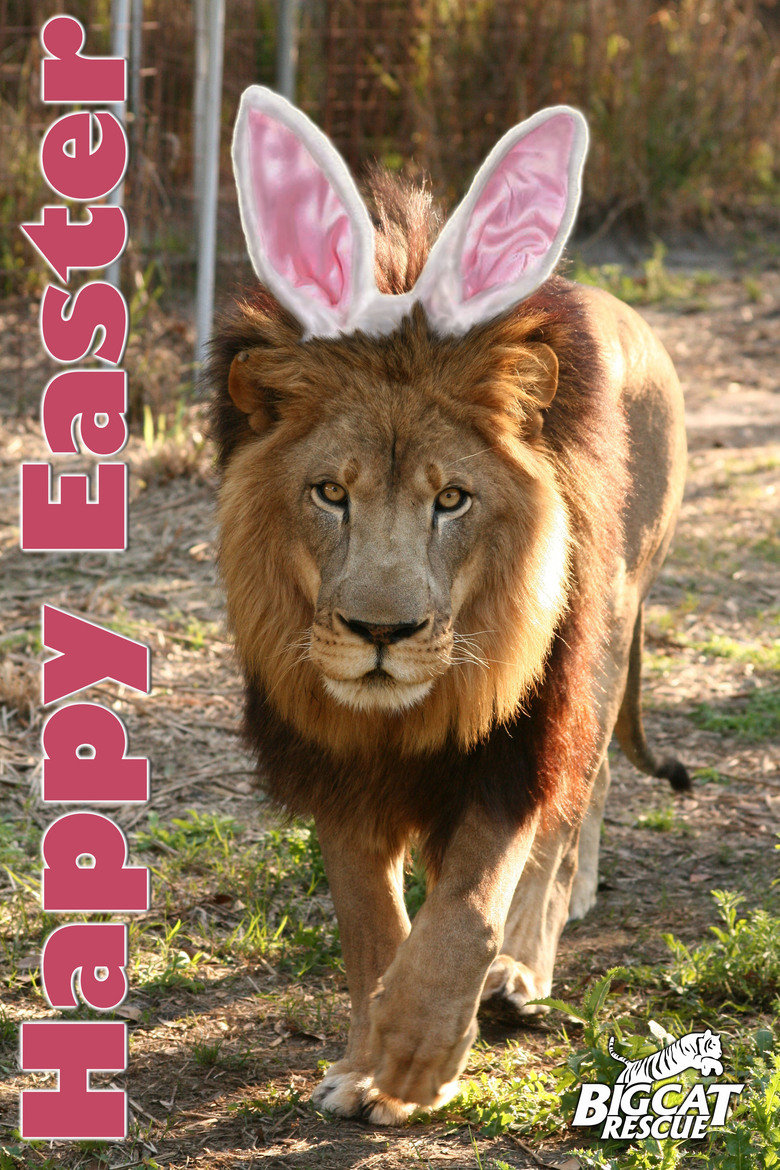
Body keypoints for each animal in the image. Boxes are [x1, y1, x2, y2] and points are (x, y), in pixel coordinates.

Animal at [208, 87, 690, 1125]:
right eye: (330, 493)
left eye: (453, 500)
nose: (380, 633)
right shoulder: (334, 761)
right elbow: (369, 921)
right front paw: (366, 1061)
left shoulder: (518, 740)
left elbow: (470, 900)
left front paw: (419, 1052)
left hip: (605, 637)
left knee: (574, 808)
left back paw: (521, 968)